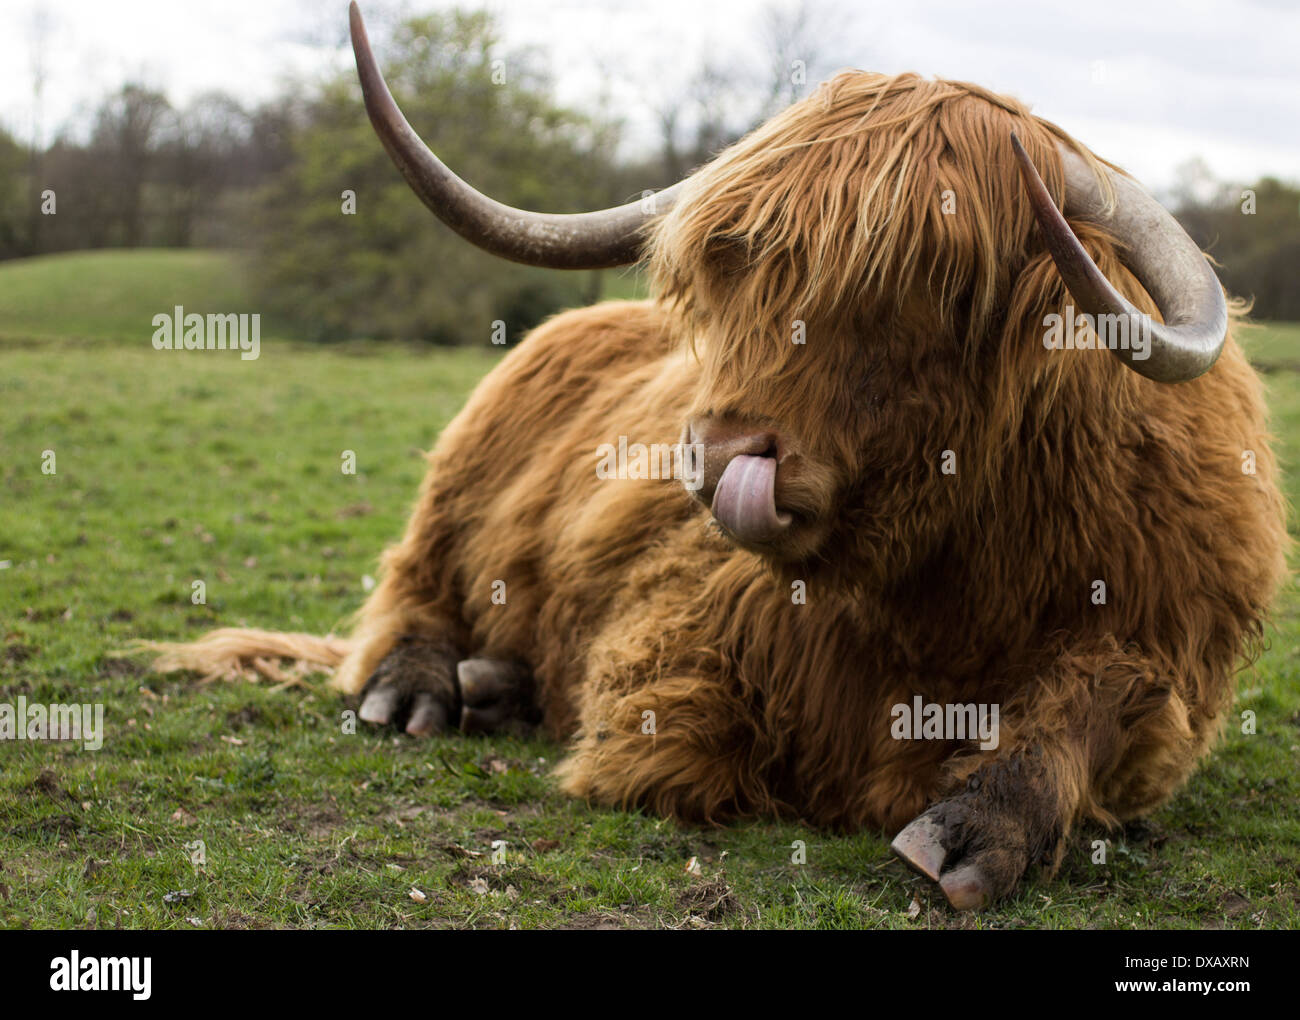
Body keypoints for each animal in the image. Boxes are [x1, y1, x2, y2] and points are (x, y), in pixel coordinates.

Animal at [151, 2, 1288, 909]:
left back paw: (494, 685)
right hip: (453, 493)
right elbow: (684, 741)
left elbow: (1097, 702)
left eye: (937, 290)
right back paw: (425, 691)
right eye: (735, 271)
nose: (722, 454)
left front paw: (971, 835)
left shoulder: (1169, 650)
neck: (952, 574)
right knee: (410, 592)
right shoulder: (681, 647)